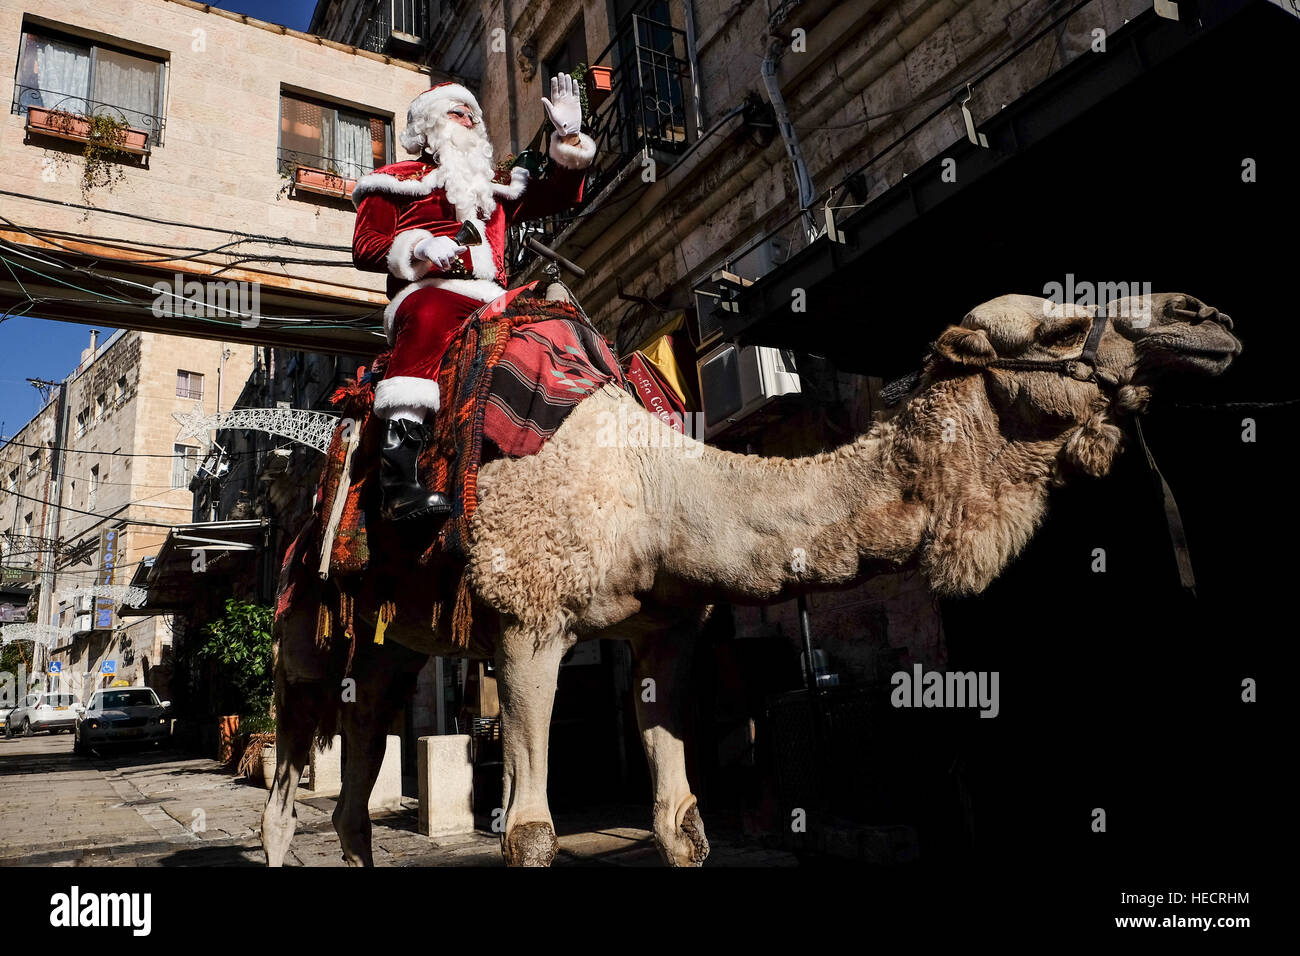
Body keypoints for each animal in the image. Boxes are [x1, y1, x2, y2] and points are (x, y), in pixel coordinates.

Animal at [261, 291, 1239, 867]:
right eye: (1059, 326)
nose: (1204, 316)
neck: (657, 490)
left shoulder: (667, 629)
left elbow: (683, 823)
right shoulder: (528, 619)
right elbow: (533, 834)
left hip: (386, 635)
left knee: (361, 747)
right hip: (300, 622)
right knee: (288, 771)